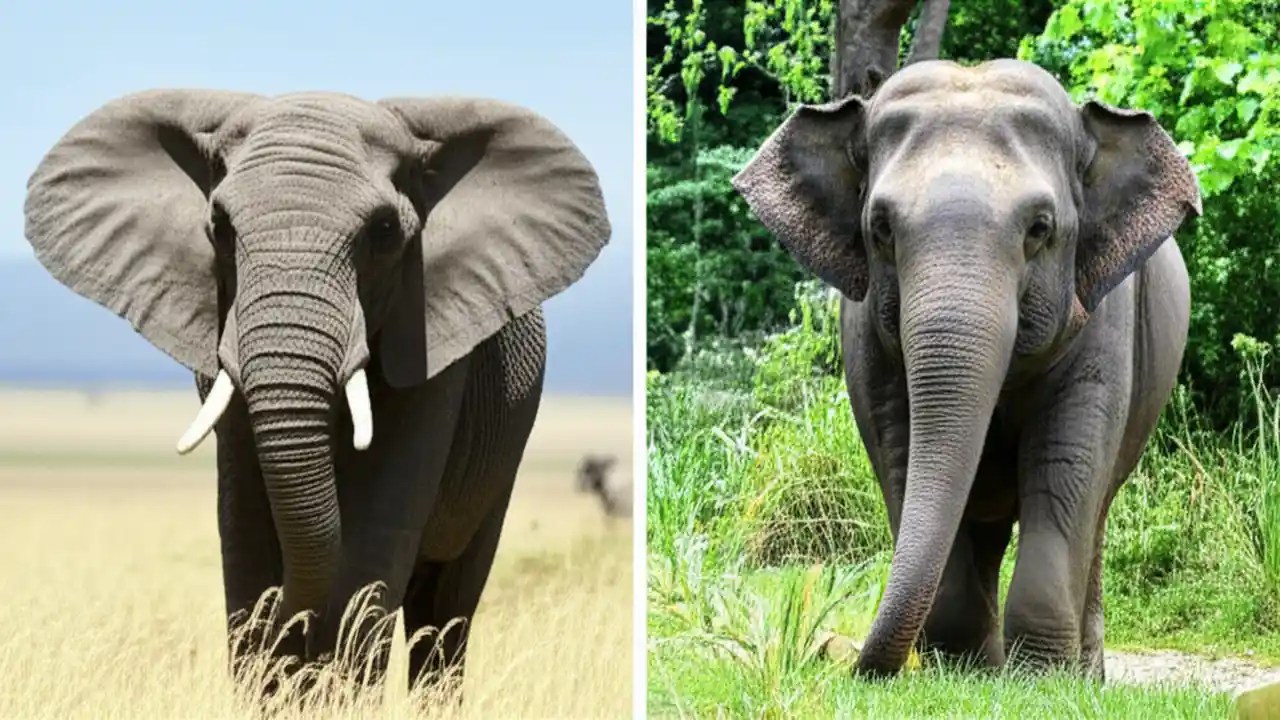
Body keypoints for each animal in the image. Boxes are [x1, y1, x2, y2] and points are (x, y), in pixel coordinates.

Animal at [23, 90, 610, 691]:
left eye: (384, 232)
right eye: (219, 226)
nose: (292, 620)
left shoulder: (430, 350)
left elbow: (371, 544)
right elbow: (246, 537)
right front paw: (274, 669)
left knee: (447, 607)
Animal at [733, 59, 1200, 679]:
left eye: (1040, 229)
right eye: (881, 228)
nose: (842, 662)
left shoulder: (1105, 319)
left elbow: (1065, 461)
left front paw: (1042, 678)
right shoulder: (865, 336)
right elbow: (900, 451)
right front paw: (963, 670)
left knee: (1094, 512)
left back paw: (1082, 675)